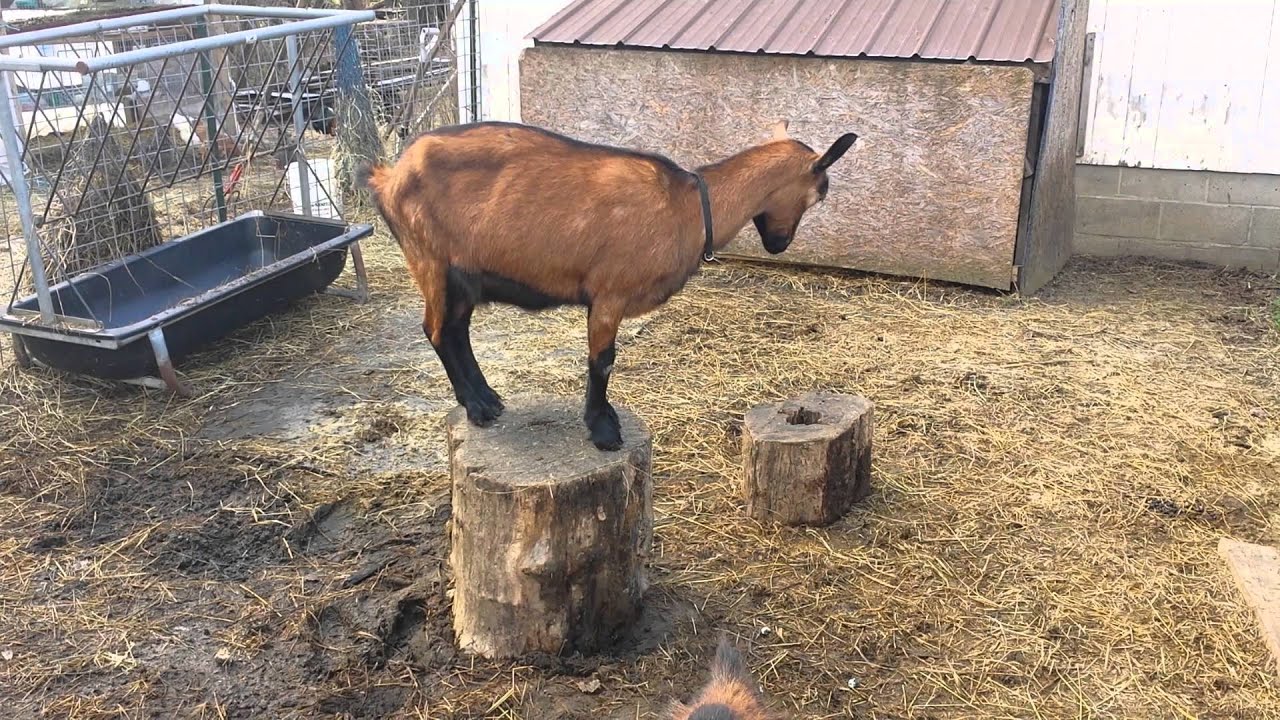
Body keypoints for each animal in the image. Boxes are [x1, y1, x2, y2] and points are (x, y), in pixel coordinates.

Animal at [359, 120, 857, 450]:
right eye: (822, 191)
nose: (778, 243)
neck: (689, 207)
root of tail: (389, 176)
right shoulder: (609, 294)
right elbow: (603, 362)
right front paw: (603, 429)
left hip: (465, 276)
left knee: (455, 331)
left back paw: (489, 400)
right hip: (431, 260)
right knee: (437, 331)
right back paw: (478, 409)